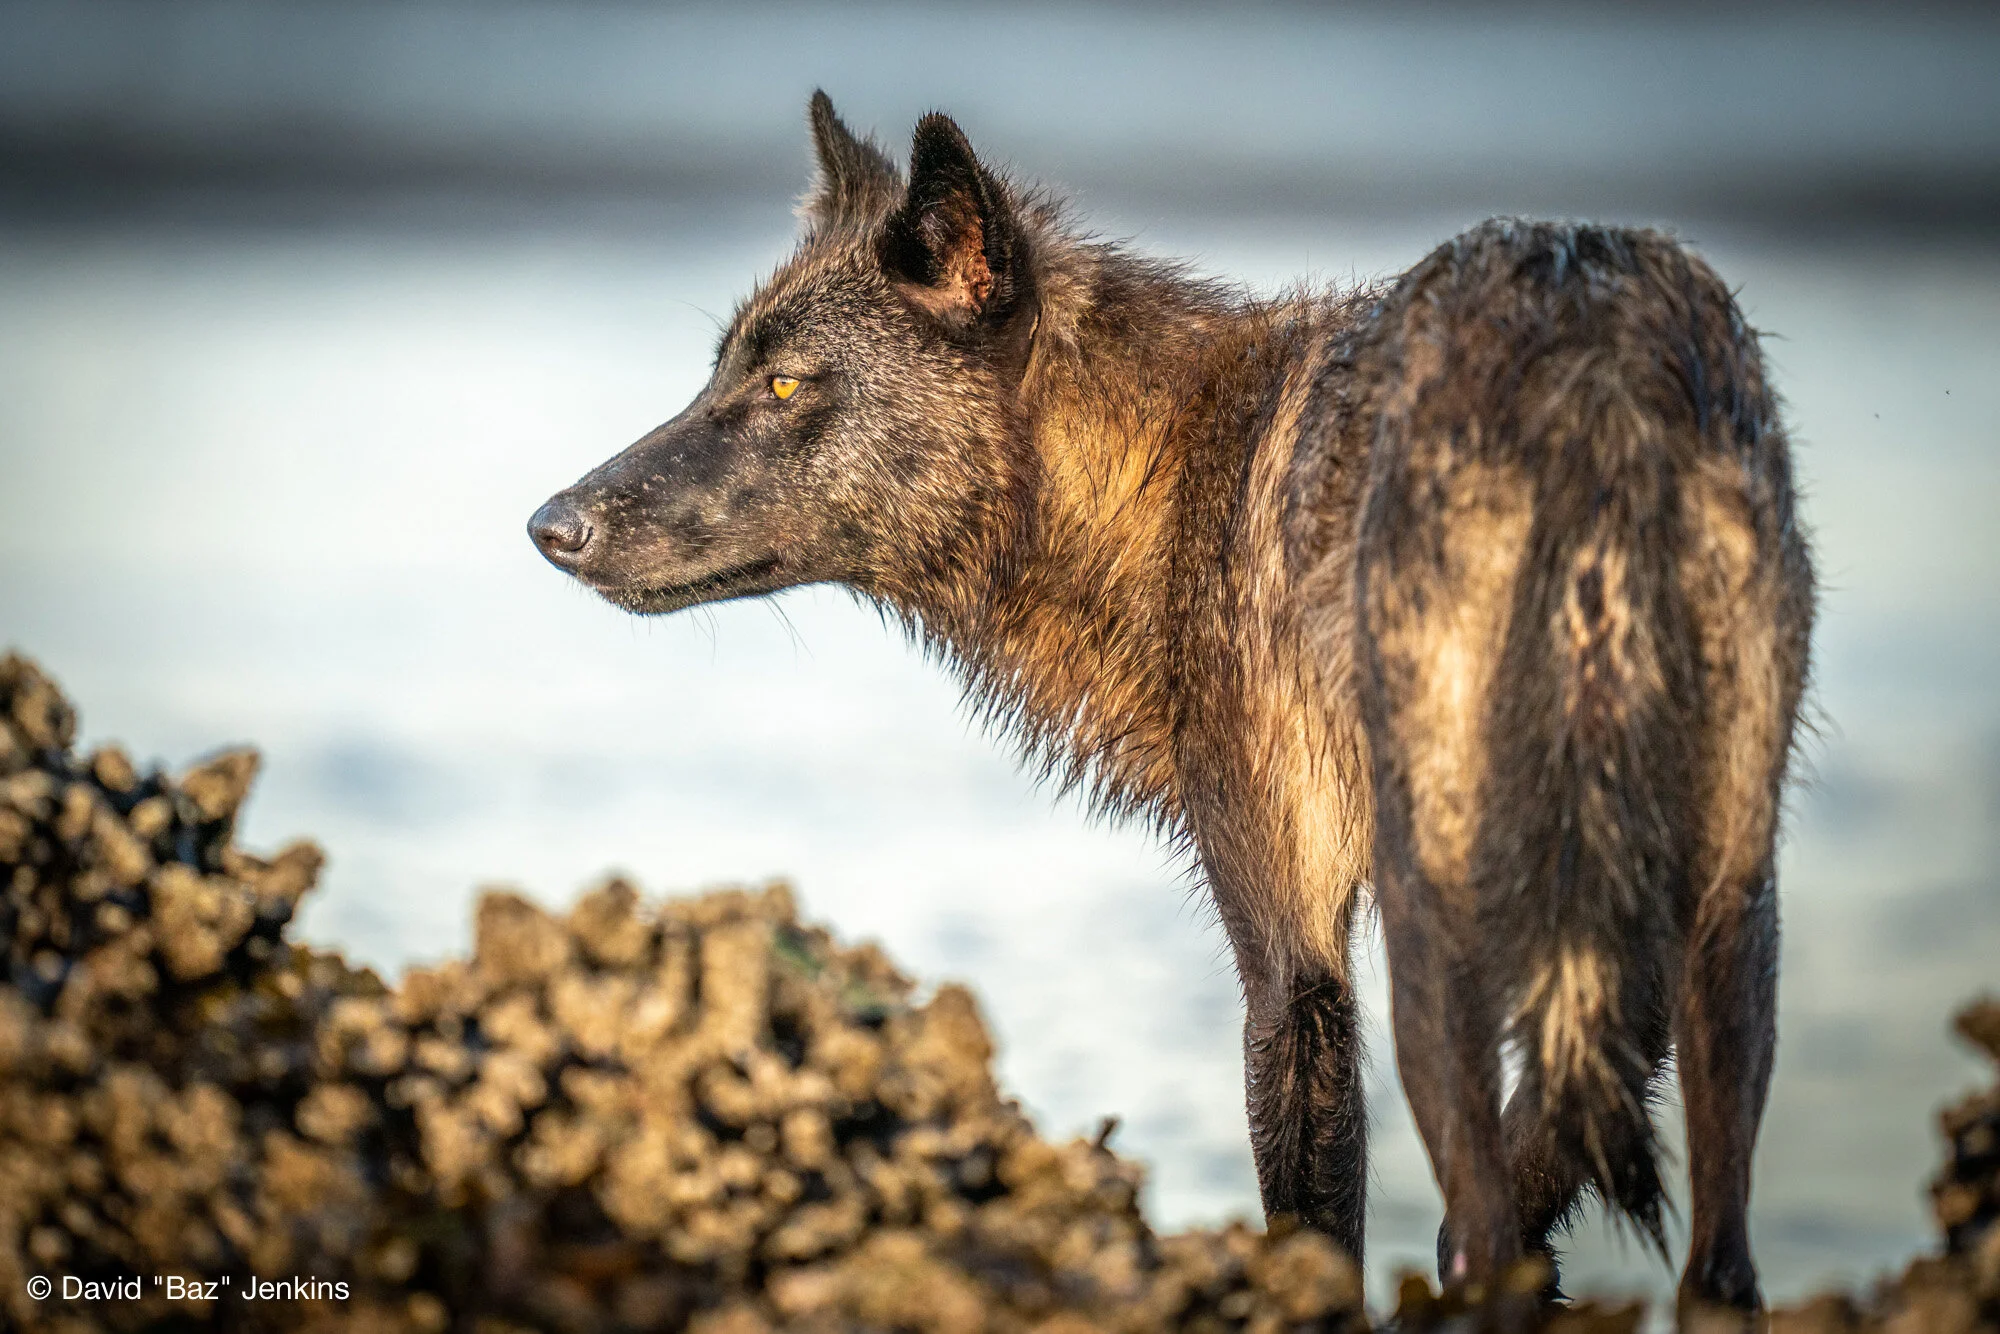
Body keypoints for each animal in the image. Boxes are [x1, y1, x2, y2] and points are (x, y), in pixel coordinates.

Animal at [529, 92, 1814, 1313]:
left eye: (786, 382)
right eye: (720, 369)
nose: (550, 524)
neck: (1156, 475)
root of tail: (1599, 365)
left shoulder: (1290, 967)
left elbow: (1323, 1233)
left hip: (1436, 929)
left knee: (1495, 1229)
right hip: (1731, 918)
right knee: (1717, 1269)